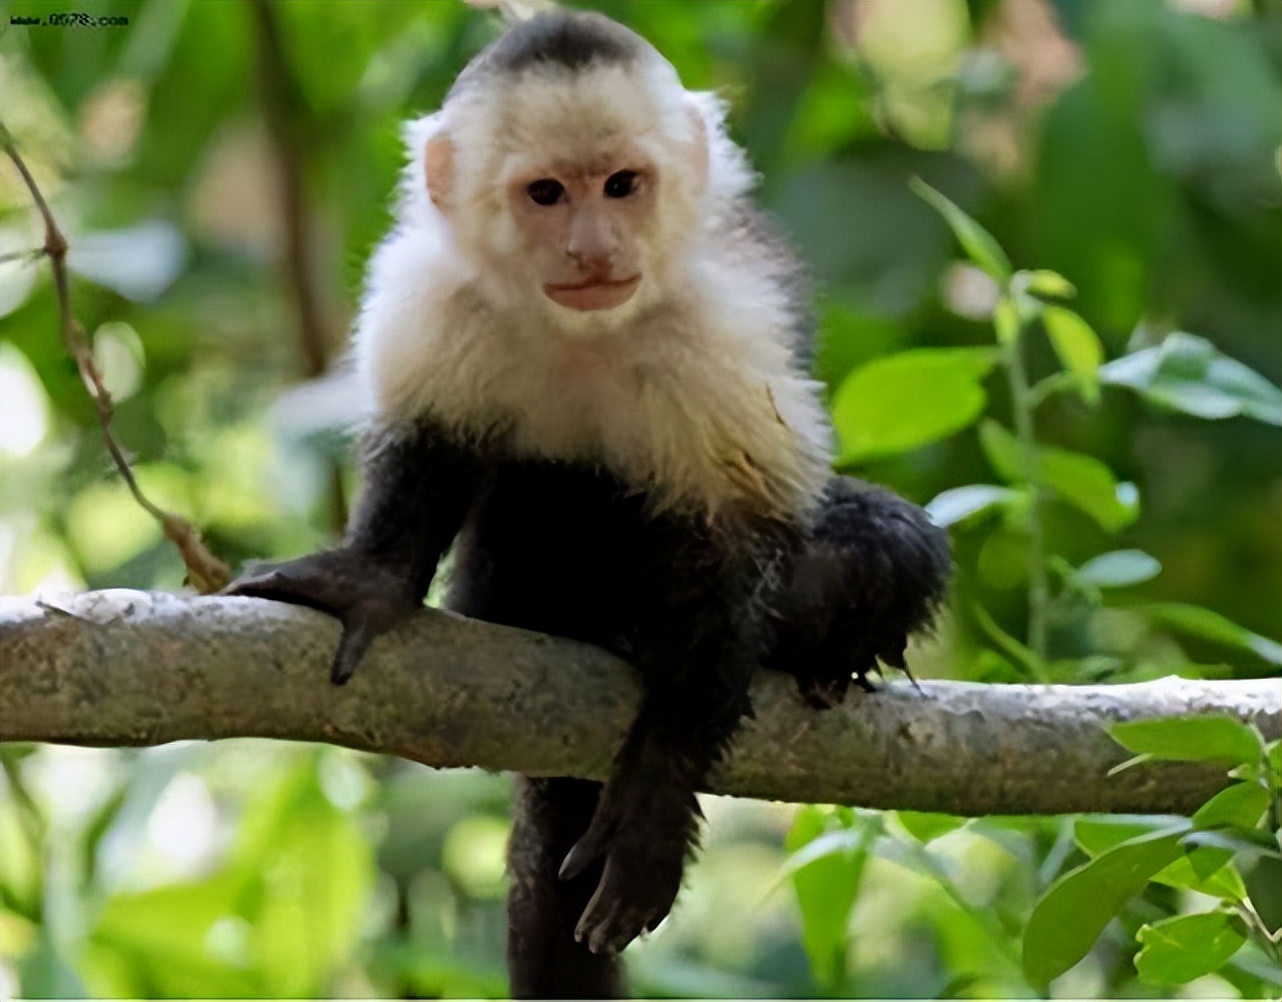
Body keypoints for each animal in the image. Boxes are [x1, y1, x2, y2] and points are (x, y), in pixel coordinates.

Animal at [228, 10, 948, 998]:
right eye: (546, 194)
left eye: (620, 186)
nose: (596, 248)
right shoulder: (432, 297)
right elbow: (432, 443)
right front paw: (369, 581)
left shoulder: (722, 327)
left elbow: (737, 542)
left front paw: (657, 788)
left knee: (880, 542)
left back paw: (806, 651)